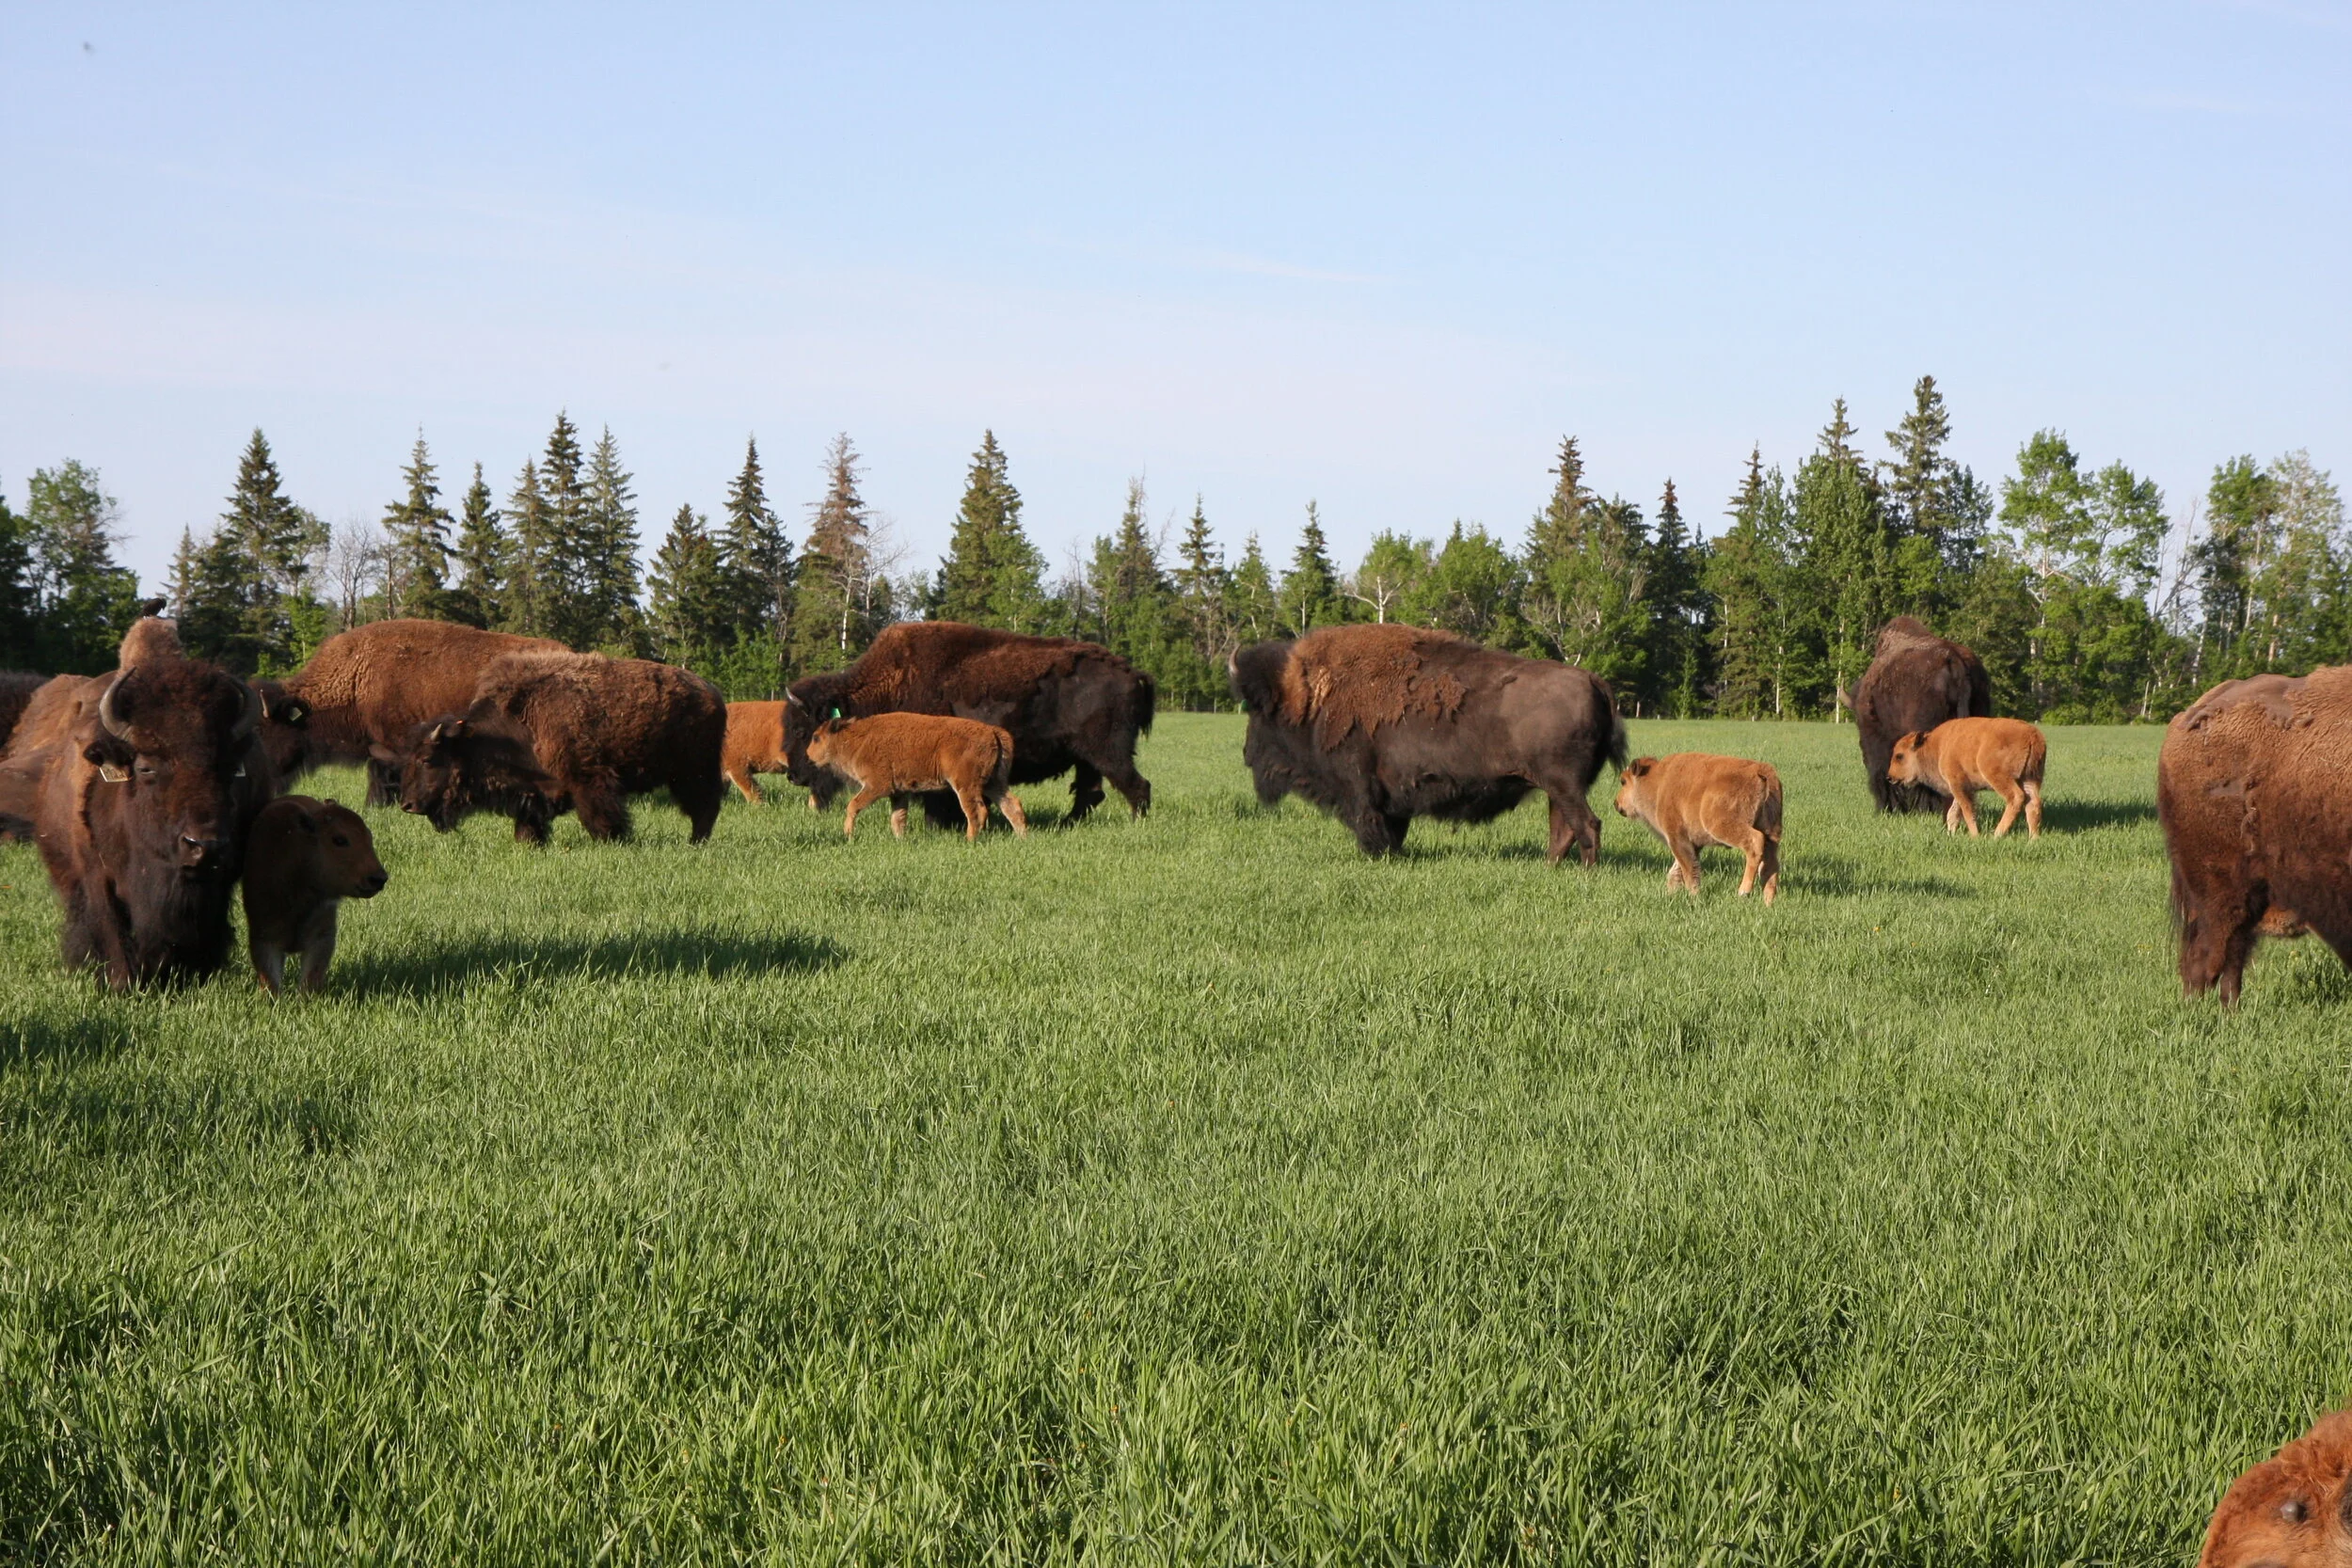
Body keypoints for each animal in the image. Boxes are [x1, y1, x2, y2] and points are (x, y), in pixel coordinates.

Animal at [0, 618, 273, 987]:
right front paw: (122, 983)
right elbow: (111, 930)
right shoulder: (97, 875)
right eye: (145, 767)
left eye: (231, 768)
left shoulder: (221, 878)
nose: (204, 845)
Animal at [398, 651, 726, 844]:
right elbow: (529, 821)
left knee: (704, 805)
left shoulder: (589, 781)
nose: (407, 805)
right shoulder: (532, 791)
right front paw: (528, 843)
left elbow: (600, 817)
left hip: (692, 772)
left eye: (427, 759)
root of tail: (712, 693)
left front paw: (613, 841)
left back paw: (696, 842)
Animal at [783, 621, 1153, 827]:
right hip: (1086, 759)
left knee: (1136, 786)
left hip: (1109, 753)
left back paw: (1136, 824)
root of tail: (1131, 672)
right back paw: (1067, 824)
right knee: (1090, 793)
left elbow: (937, 802)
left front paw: (937, 827)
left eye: (804, 731)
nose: (793, 775)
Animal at [1230, 624, 1625, 861]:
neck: (1311, 701)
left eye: (1257, 709)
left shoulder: (1359, 787)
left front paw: (1379, 854)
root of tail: (1593, 680)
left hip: (1562, 784)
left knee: (1587, 825)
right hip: (1557, 788)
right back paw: (1550, 866)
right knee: (1564, 829)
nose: (1246, 752)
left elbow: (1370, 821)